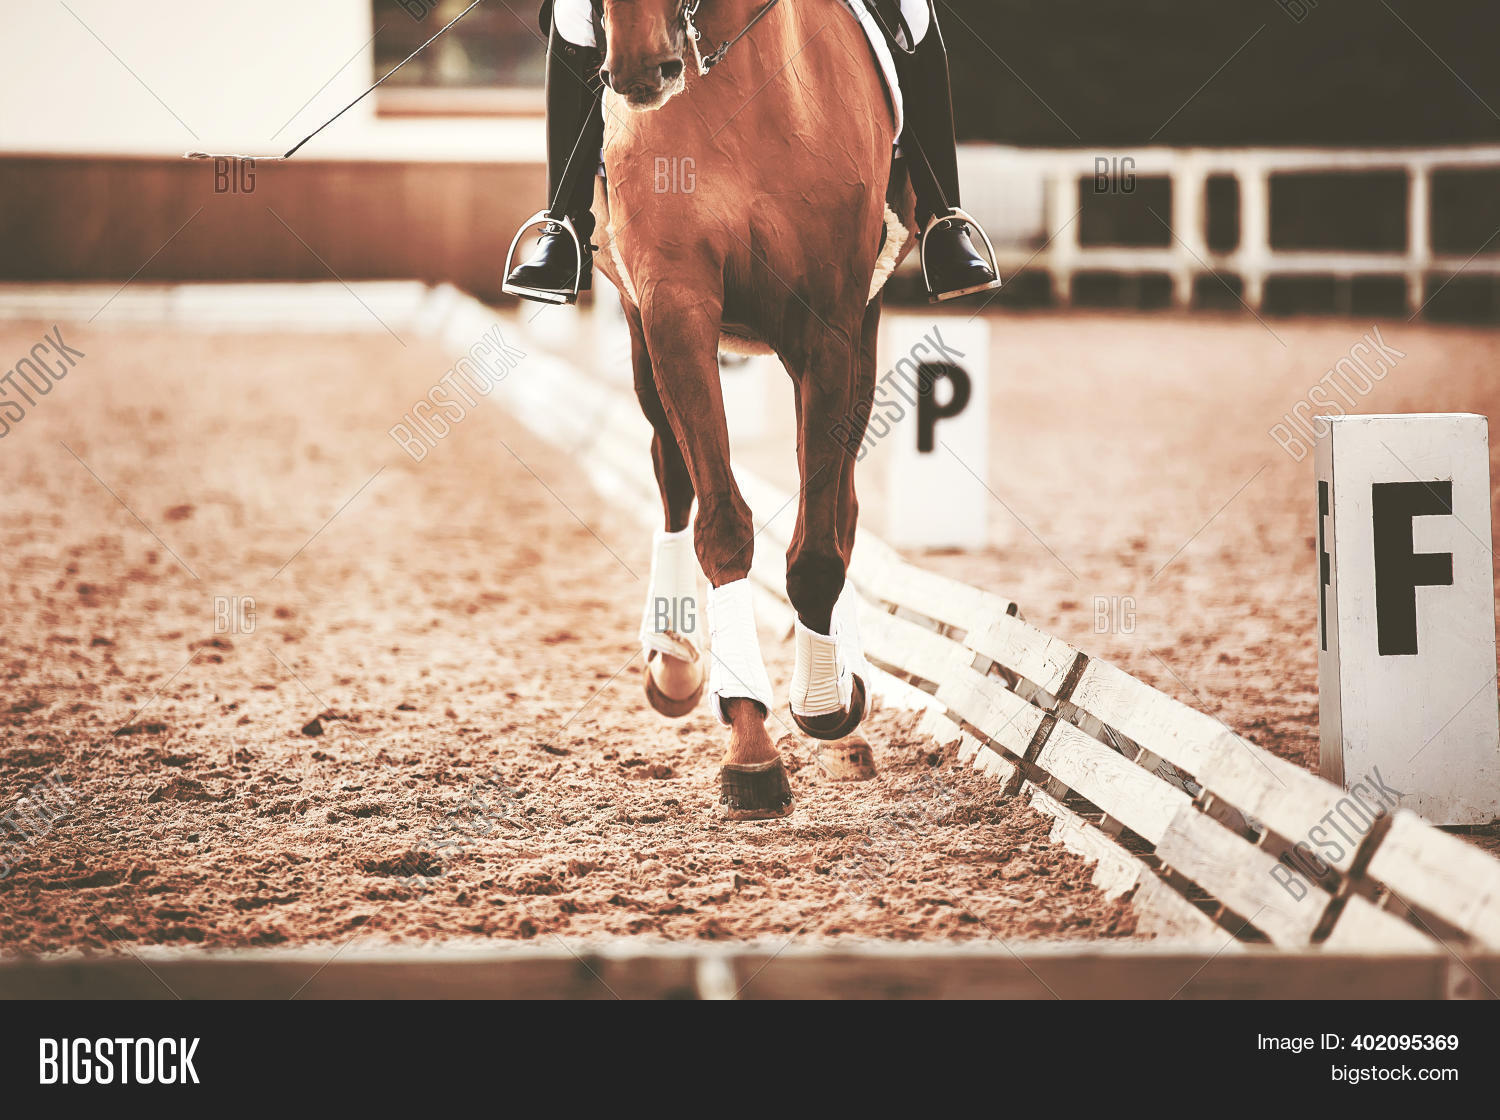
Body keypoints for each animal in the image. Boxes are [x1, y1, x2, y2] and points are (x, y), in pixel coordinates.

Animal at [591, 0, 917, 819]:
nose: (640, 69)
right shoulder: (673, 306)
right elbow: (721, 523)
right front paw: (749, 743)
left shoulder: (829, 326)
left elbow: (819, 546)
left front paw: (826, 704)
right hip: (641, 333)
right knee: (673, 473)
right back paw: (675, 660)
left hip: (858, 328)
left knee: (839, 500)